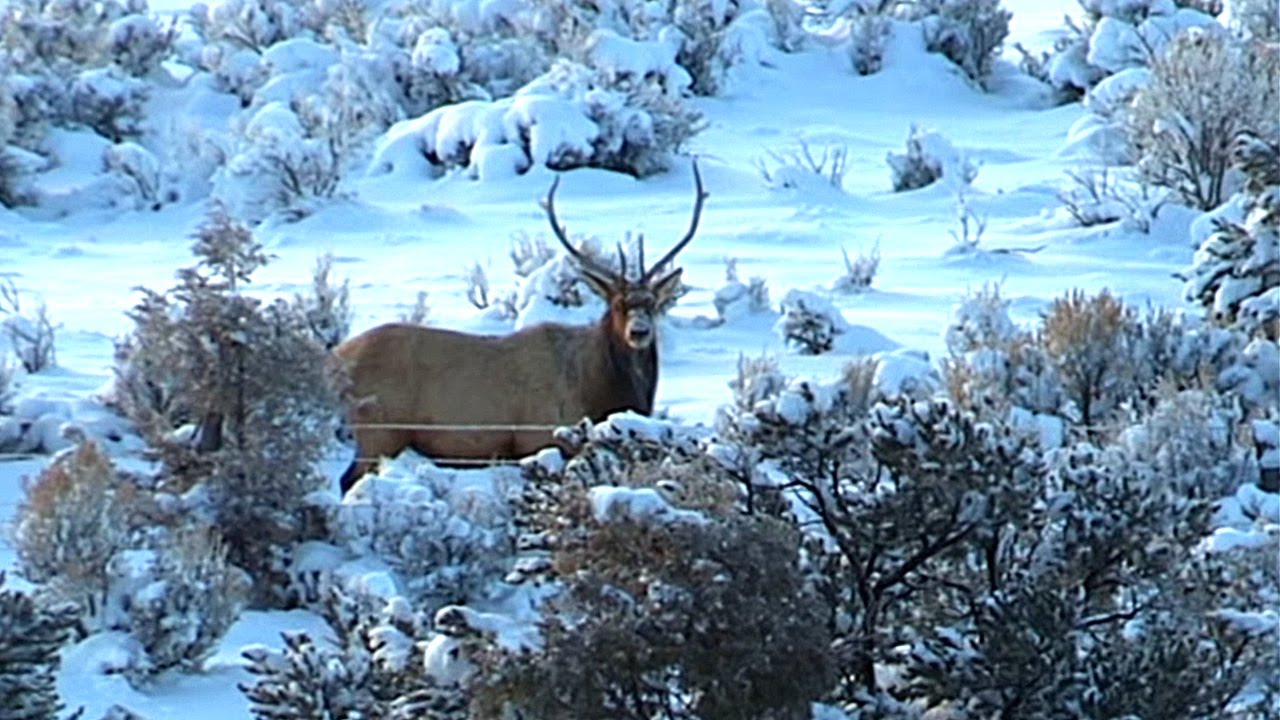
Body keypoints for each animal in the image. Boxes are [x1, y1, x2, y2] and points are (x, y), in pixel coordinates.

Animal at [334, 162, 708, 493]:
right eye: (616, 304)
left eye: (653, 304)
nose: (639, 332)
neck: (601, 391)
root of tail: (337, 357)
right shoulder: (539, 438)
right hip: (378, 429)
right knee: (346, 479)